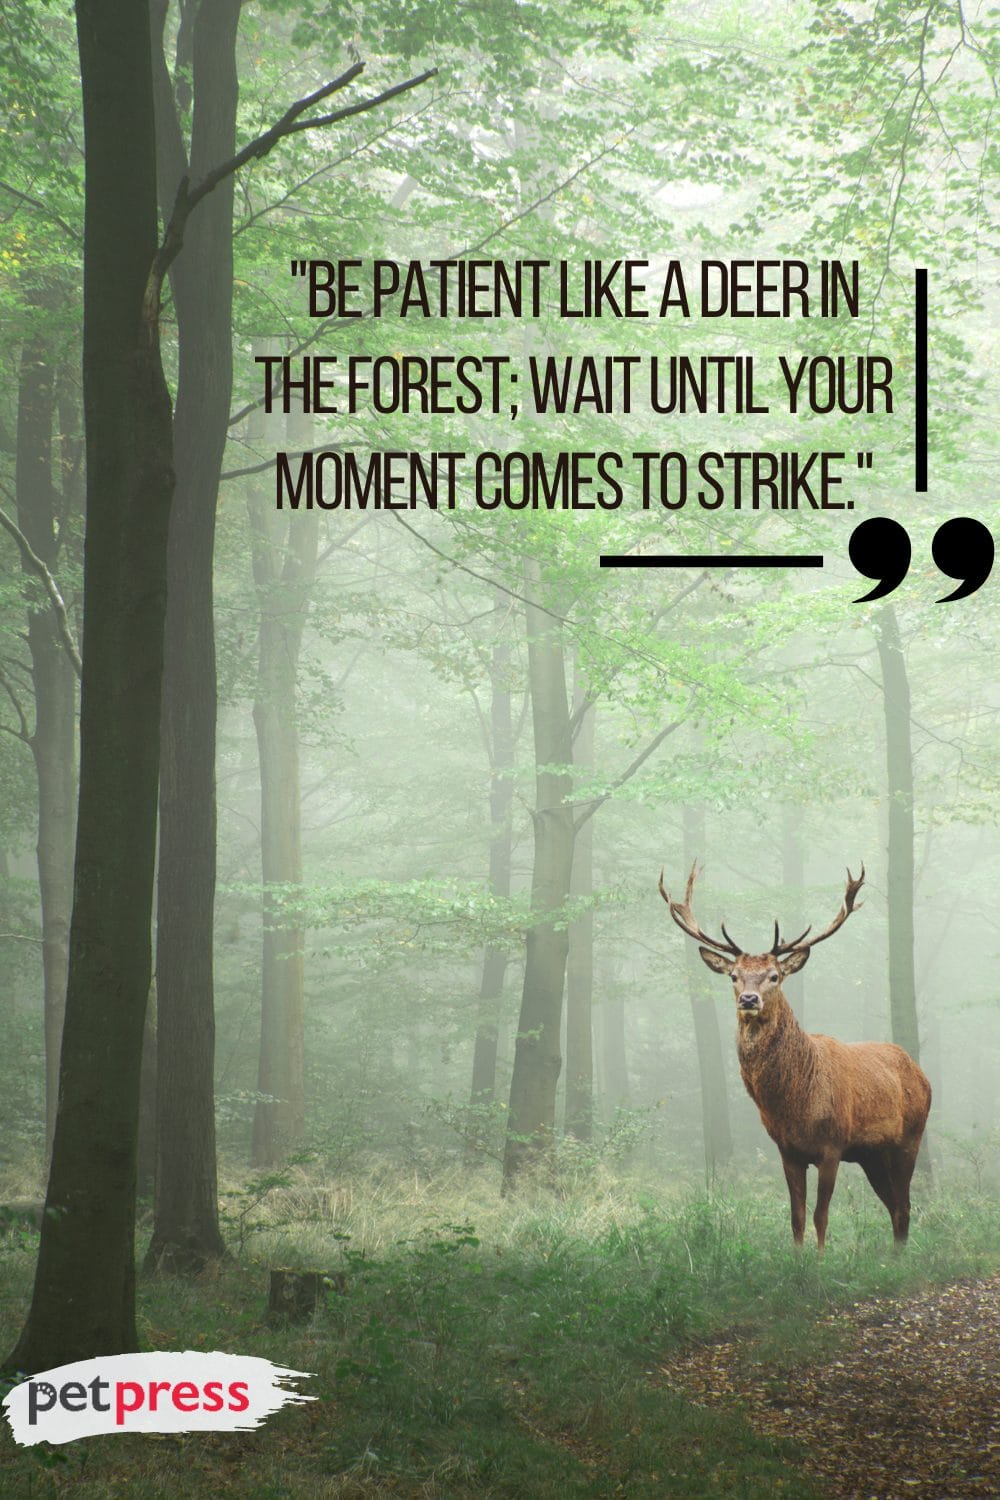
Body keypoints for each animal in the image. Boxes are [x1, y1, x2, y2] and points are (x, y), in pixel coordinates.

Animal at [660, 863, 931, 1251]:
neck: (796, 1102)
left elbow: (821, 1216)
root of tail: (921, 1074)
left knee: (904, 1206)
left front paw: (819, 1260)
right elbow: (797, 1217)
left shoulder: (832, 1145)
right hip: (872, 1155)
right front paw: (798, 1257)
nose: (748, 999)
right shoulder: (787, 1150)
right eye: (733, 976)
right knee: (894, 1206)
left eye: (774, 976)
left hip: (911, 1137)